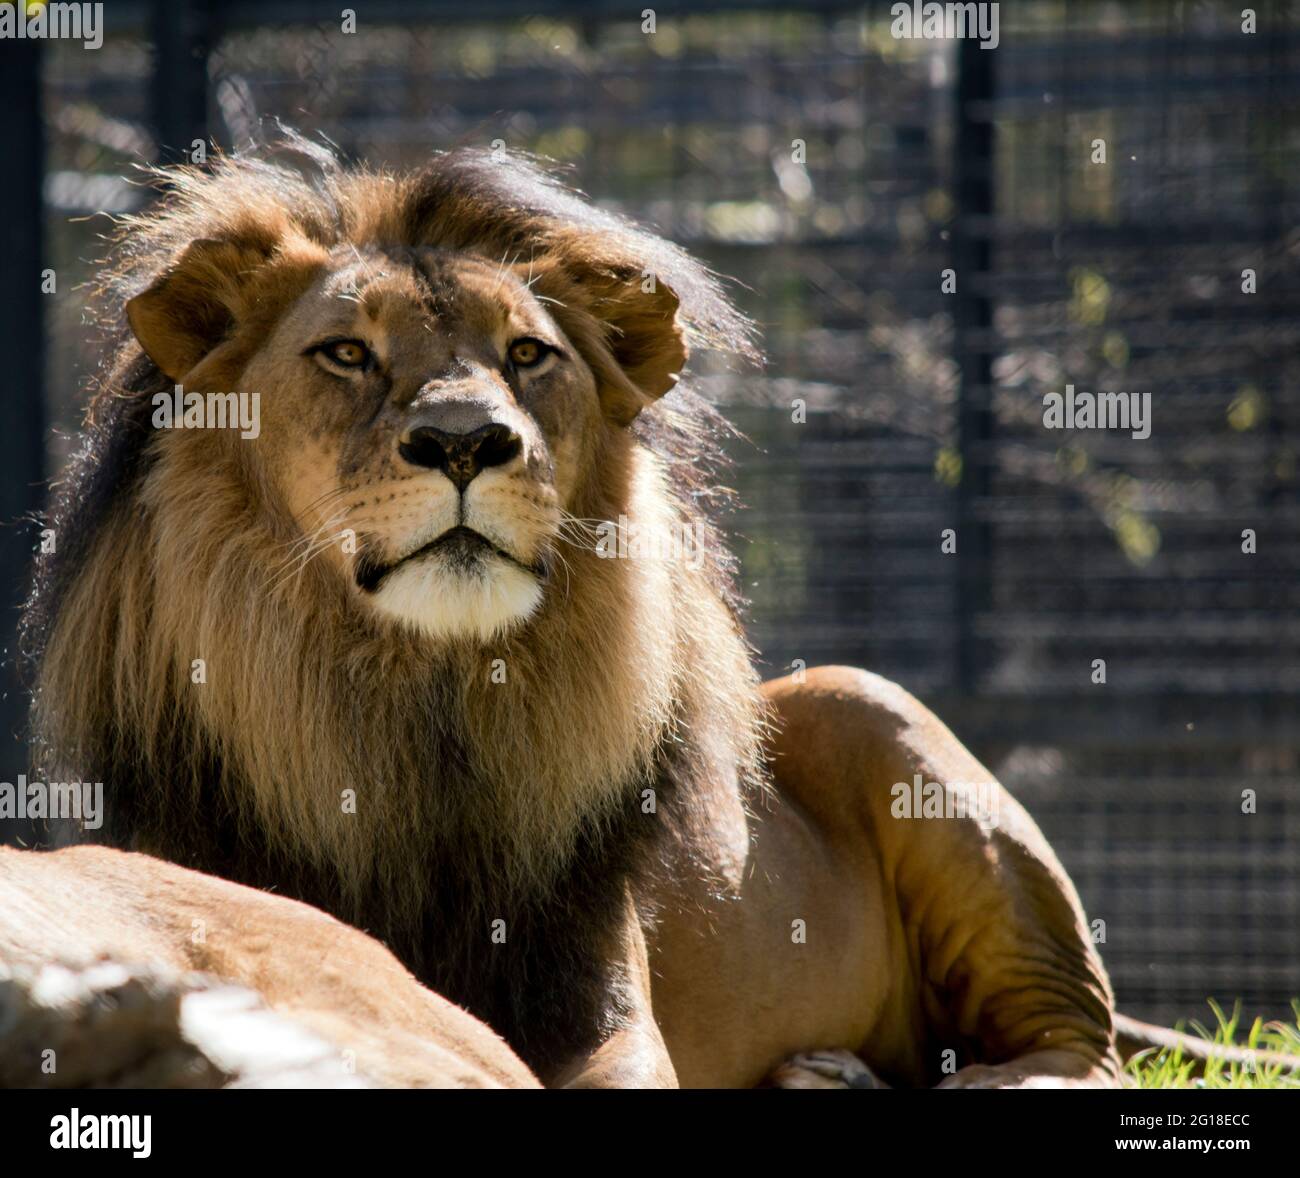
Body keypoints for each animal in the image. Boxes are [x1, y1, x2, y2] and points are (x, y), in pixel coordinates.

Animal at [18, 137, 1270, 1088]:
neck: (421, 711)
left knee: (1076, 1048)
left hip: (879, 711)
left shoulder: (603, 1004)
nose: (468, 440)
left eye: (528, 353)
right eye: (344, 352)